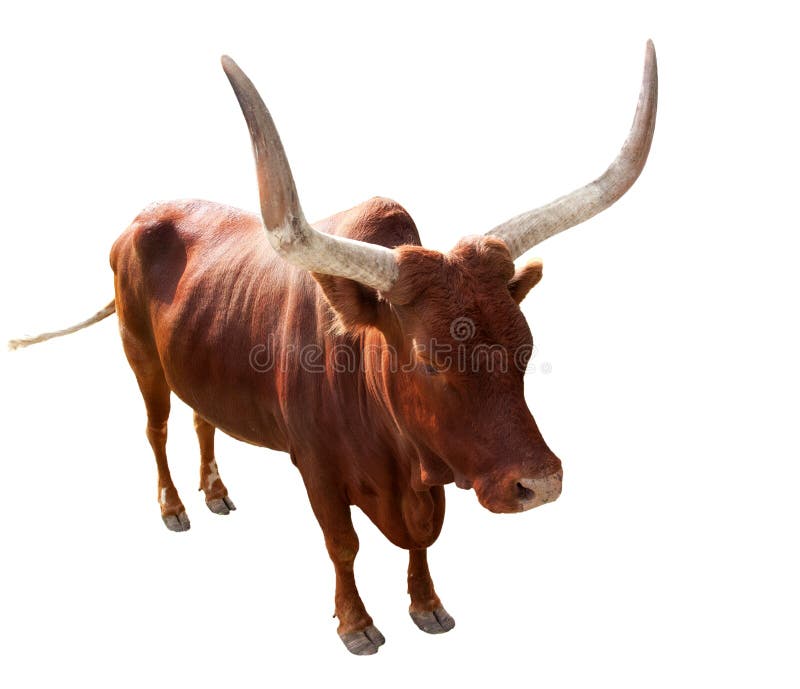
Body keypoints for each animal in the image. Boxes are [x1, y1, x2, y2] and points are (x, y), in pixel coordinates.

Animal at [9, 41, 657, 654]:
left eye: (526, 348)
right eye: (430, 359)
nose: (539, 484)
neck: (400, 463)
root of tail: (139, 220)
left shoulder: (422, 476)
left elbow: (421, 541)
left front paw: (427, 605)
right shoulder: (316, 466)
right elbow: (342, 544)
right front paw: (357, 624)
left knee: (202, 420)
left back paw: (215, 492)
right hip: (141, 356)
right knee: (158, 428)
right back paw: (174, 507)